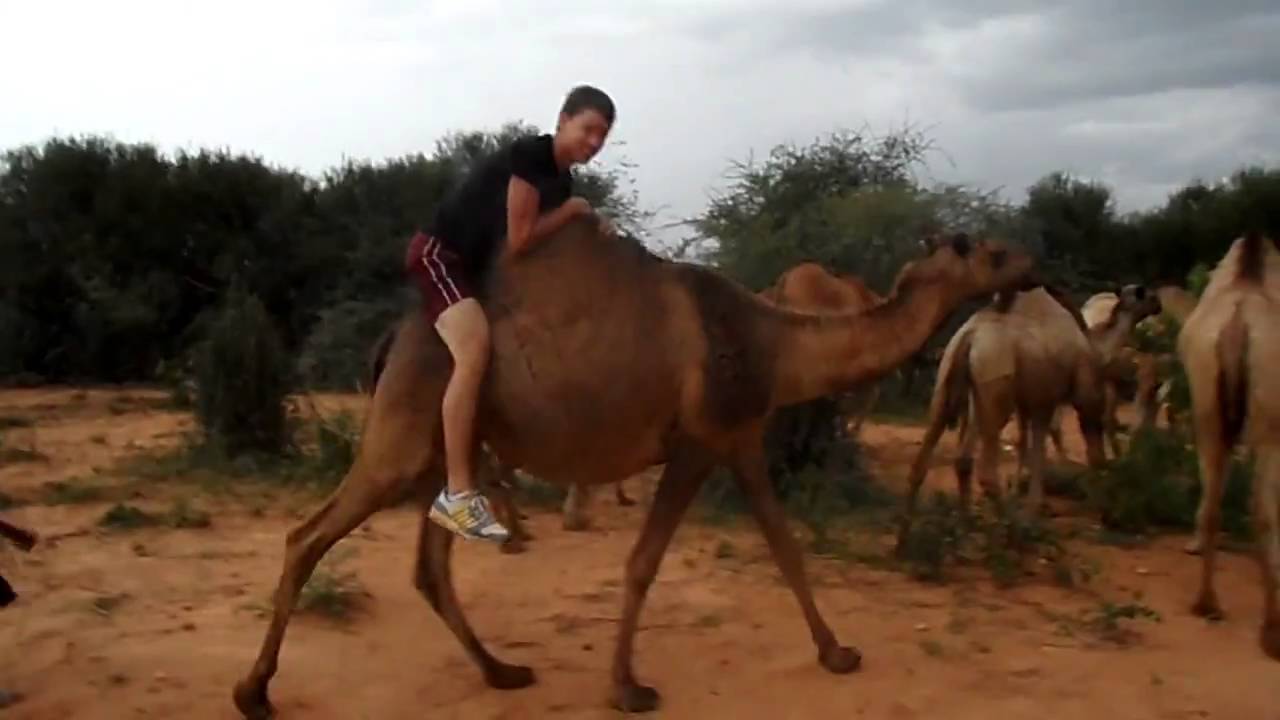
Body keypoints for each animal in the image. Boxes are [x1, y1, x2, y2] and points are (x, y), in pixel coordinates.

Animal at [232, 217, 1049, 718]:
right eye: (987, 249)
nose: (1033, 264)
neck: (773, 341)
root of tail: (389, 343)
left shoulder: (740, 438)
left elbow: (786, 549)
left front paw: (838, 652)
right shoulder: (697, 441)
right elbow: (644, 562)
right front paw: (628, 686)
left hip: (440, 454)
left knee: (430, 565)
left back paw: (502, 672)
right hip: (402, 436)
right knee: (307, 537)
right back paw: (254, 691)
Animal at [896, 283, 1161, 543]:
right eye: (1143, 293)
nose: (1158, 303)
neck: (1095, 345)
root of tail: (969, 338)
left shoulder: (1034, 401)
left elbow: (1031, 449)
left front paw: (1034, 507)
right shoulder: (1079, 393)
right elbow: (1091, 452)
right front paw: (1105, 512)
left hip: (950, 381)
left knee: (935, 458)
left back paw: (920, 535)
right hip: (996, 388)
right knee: (986, 471)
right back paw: (1013, 530)